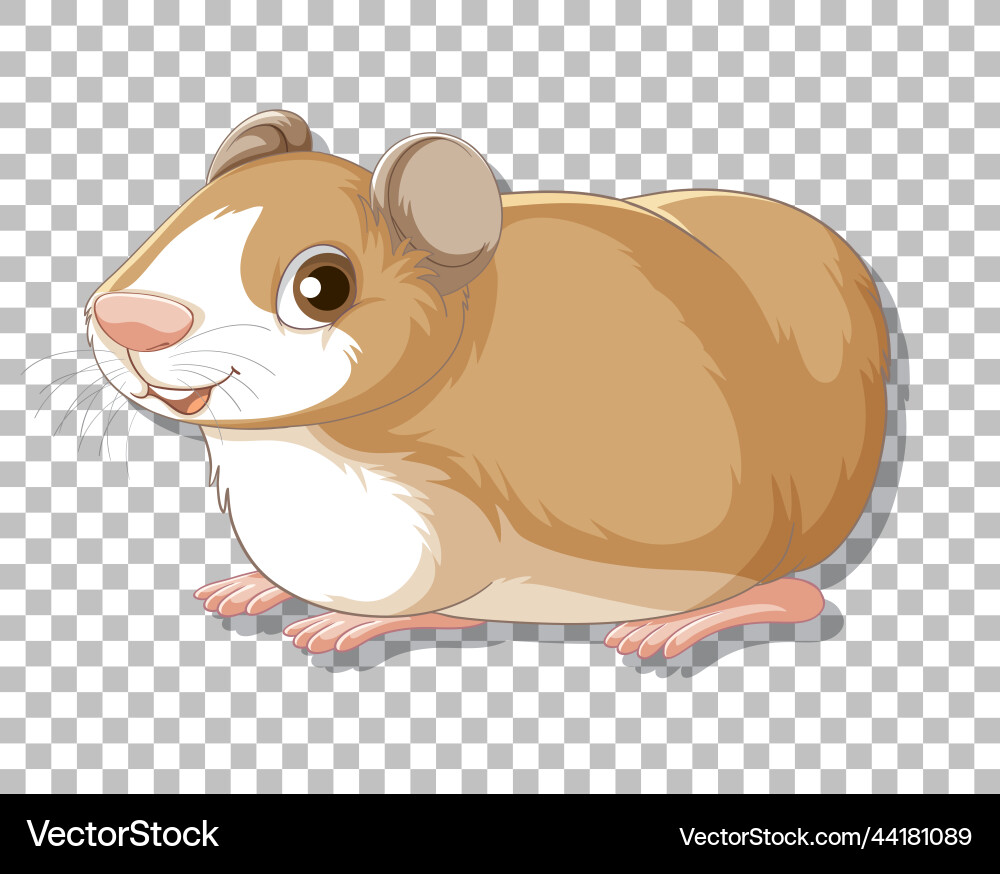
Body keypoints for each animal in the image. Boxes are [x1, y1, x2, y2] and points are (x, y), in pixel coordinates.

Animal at [86, 109, 889, 660]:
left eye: (322, 286)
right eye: (174, 224)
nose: (130, 319)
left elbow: (441, 604)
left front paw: (346, 621)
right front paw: (255, 585)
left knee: (794, 594)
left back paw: (674, 628)